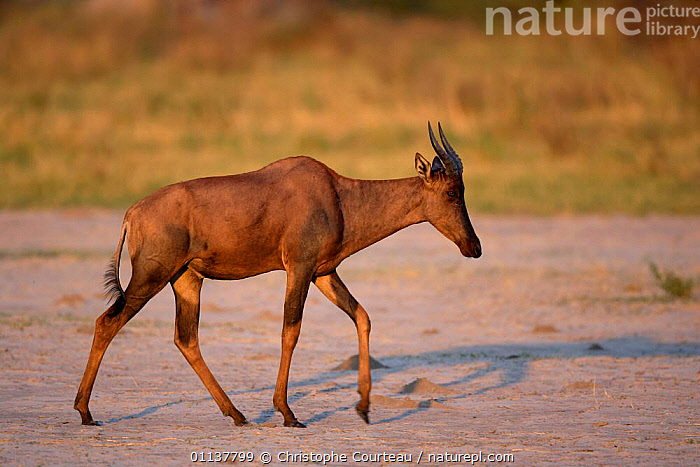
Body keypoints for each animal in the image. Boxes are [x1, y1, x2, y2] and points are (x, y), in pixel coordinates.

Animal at [74, 122, 481, 428]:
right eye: (451, 192)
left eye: (461, 190)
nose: (473, 247)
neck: (337, 194)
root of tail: (132, 213)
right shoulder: (298, 268)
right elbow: (291, 331)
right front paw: (288, 413)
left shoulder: (323, 273)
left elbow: (362, 317)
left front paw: (364, 408)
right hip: (151, 276)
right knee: (107, 322)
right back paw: (85, 412)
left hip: (186, 278)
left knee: (186, 339)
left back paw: (237, 414)